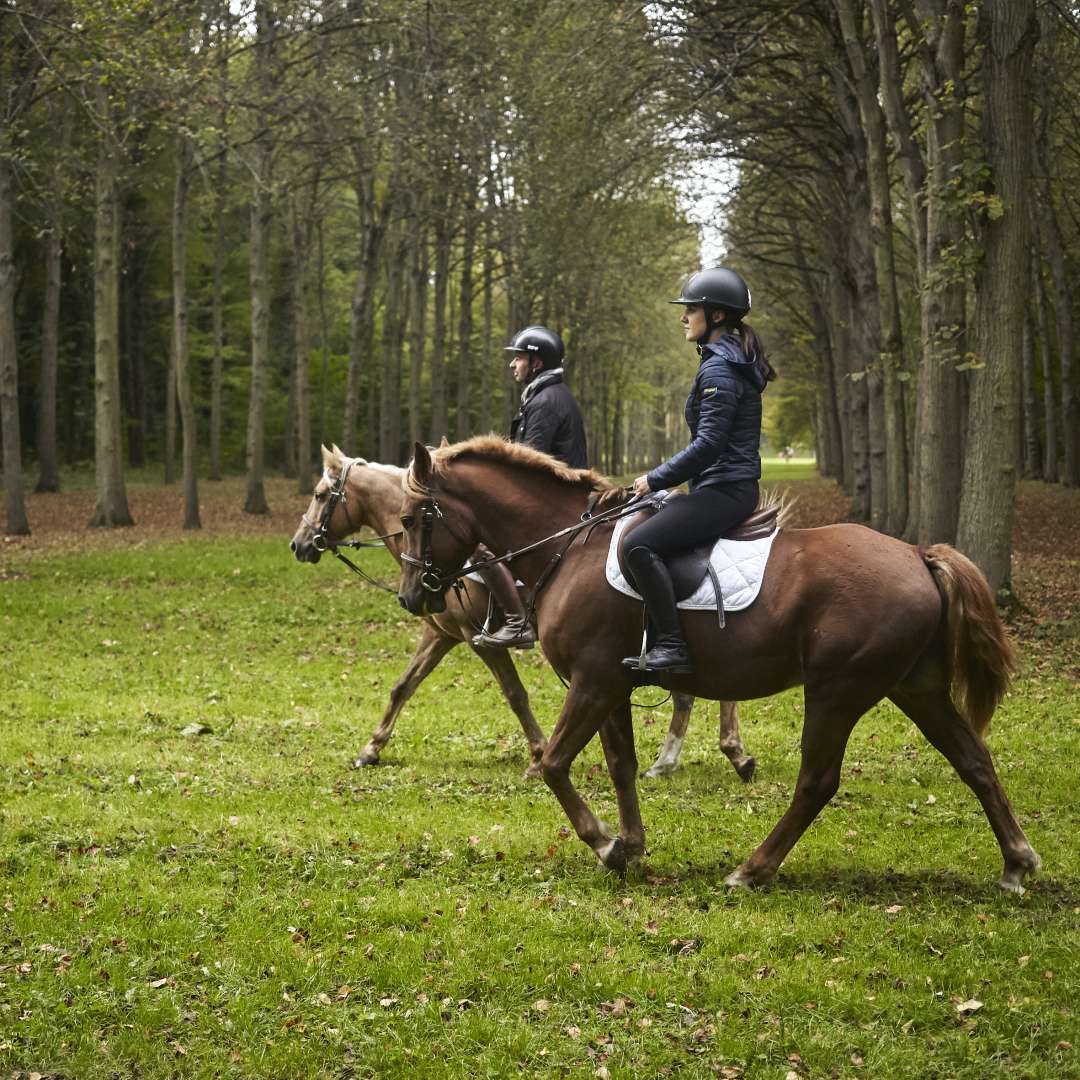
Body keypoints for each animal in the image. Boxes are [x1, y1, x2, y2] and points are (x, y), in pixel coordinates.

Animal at [290, 445, 755, 782]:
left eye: (319, 495)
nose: (299, 545)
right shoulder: (442, 634)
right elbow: (403, 686)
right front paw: (371, 748)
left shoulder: (478, 640)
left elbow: (515, 694)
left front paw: (536, 754)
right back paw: (700, 756)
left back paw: (718, 753)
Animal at [396, 436, 1041, 894]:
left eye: (410, 519)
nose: (410, 597)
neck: (568, 547)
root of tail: (917, 554)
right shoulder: (613, 683)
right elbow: (621, 765)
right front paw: (629, 845)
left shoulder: (594, 679)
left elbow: (555, 763)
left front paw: (603, 843)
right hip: (916, 687)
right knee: (974, 761)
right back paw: (1016, 863)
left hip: (838, 690)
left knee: (818, 781)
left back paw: (753, 870)